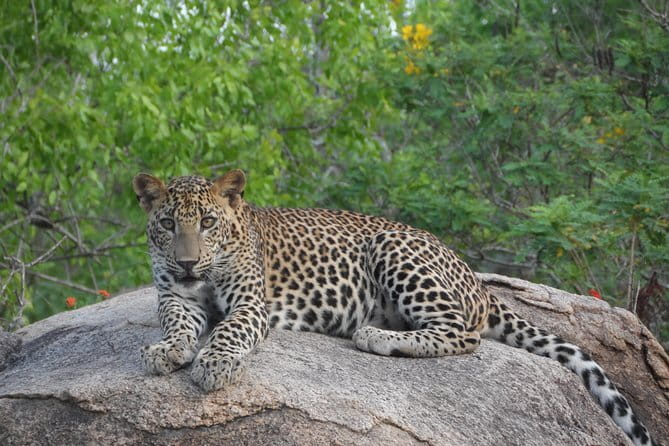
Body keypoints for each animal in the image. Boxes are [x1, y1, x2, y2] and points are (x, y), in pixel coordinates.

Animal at [133, 169, 656, 446]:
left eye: (207, 221)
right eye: (167, 223)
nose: (187, 262)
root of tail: (477, 279)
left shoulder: (249, 302)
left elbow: (229, 330)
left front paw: (215, 365)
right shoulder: (175, 296)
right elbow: (177, 324)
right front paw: (166, 350)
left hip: (393, 247)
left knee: (462, 334)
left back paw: (375, 335)